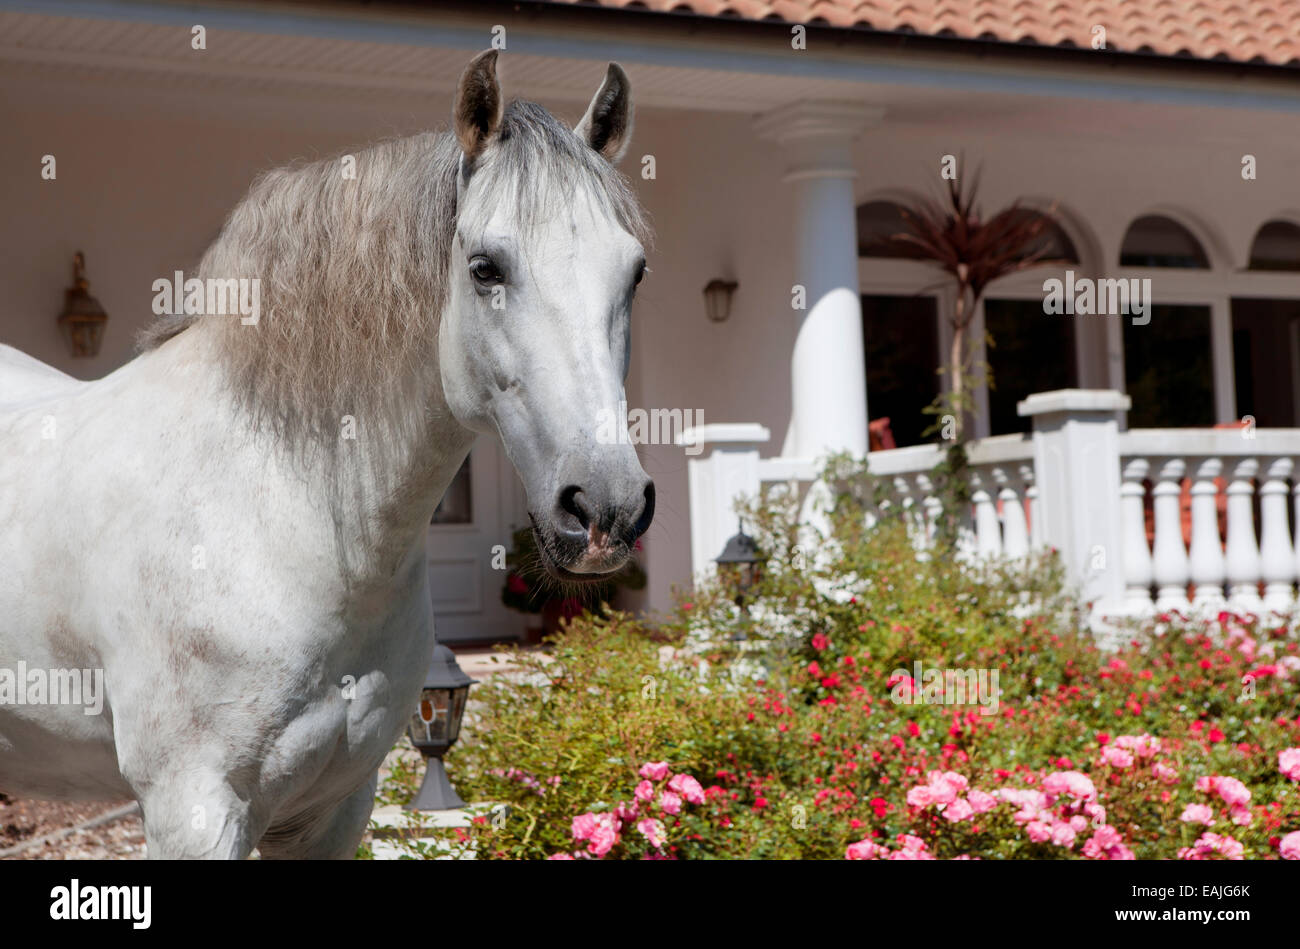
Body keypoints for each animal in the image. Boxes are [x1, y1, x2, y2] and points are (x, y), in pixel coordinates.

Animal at [0, 49, 654, 859]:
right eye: (485, 268)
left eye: (635, 271)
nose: (605, 507)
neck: (279, 513)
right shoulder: (193, 808)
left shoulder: (332, 808)